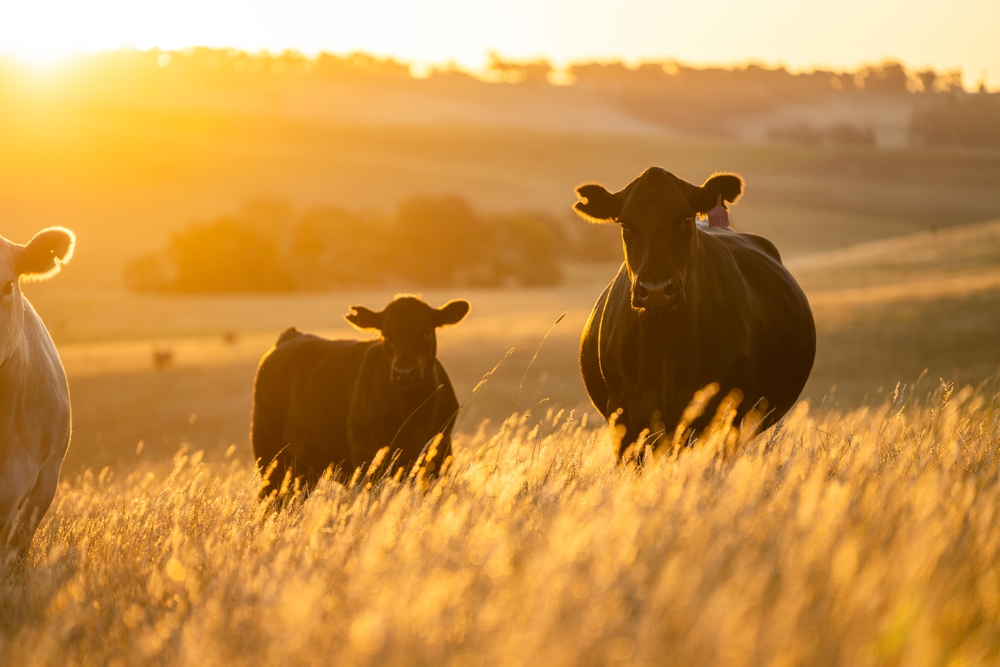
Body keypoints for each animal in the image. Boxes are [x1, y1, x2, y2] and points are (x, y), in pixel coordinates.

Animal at [251, 295, 470, 498]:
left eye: (425, 332)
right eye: (386, 335)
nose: (405, 373)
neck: (413, 414)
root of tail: (290, 336)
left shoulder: (439, 459)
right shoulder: (366, 461)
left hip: (305, 466)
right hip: (269, 455)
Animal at [573, 167, 815, 456]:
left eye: (685, 218)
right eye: (625, 224)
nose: (656, 289)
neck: (666, 342)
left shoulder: (727, 414)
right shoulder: (623, 420)